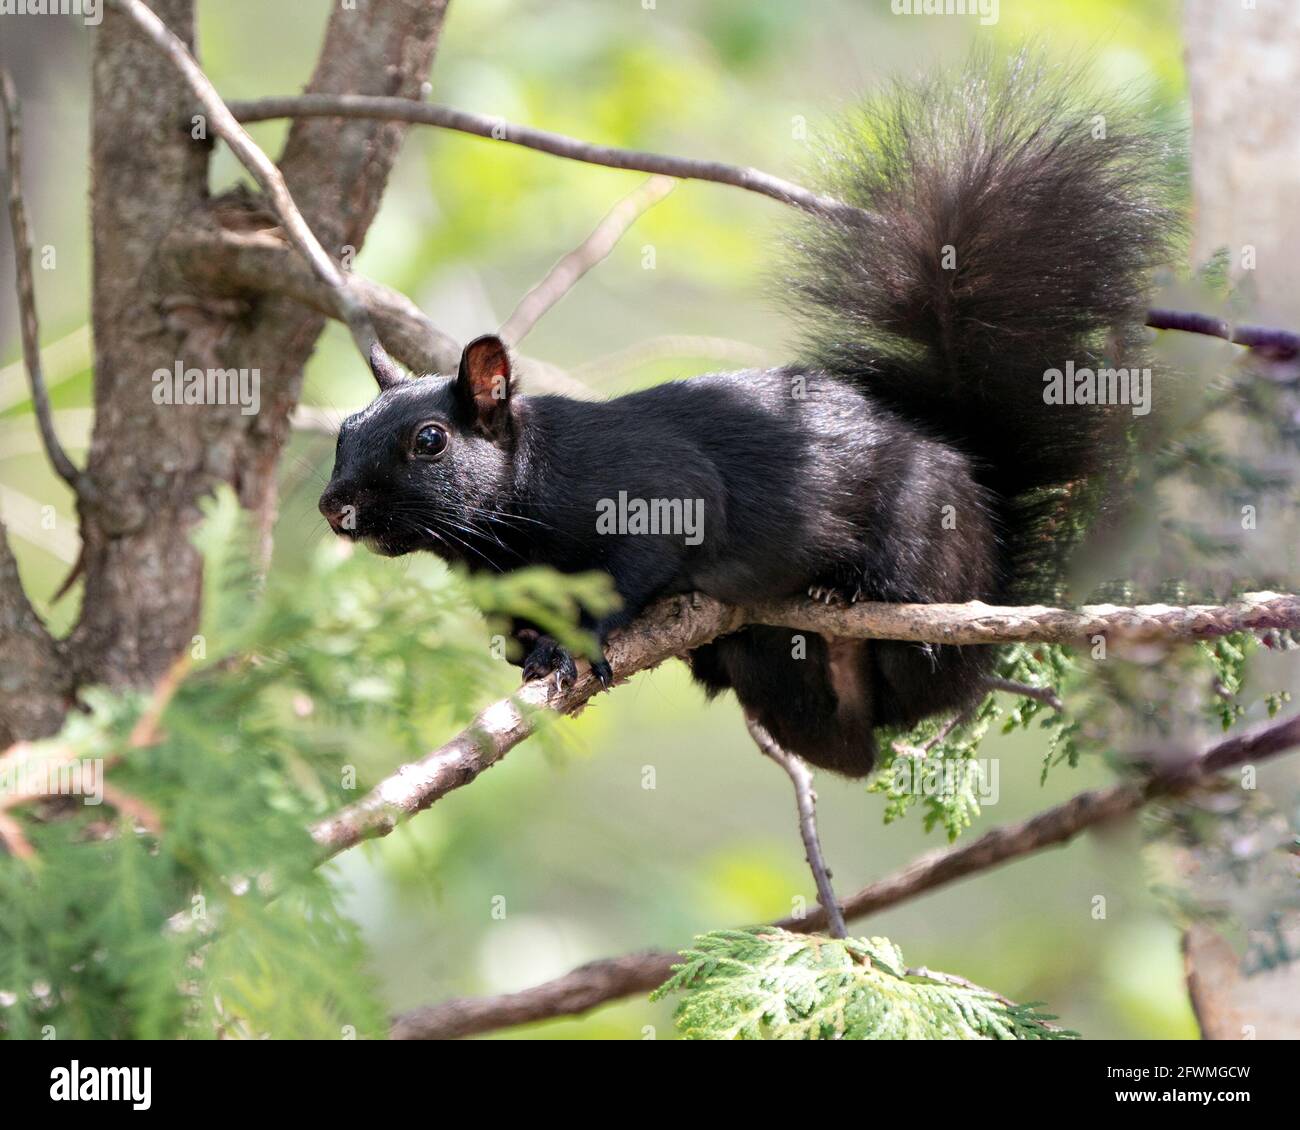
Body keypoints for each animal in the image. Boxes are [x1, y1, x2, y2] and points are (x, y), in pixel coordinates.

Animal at [318, 56, 1173, 777]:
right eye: (344, 431)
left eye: (430, 441)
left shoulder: (652, 487)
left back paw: (847, 596)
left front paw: (570, 646)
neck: (519, 505)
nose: (335, 506)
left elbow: (634, 567)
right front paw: (529, 642)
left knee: (926, 667)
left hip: (923, 546)